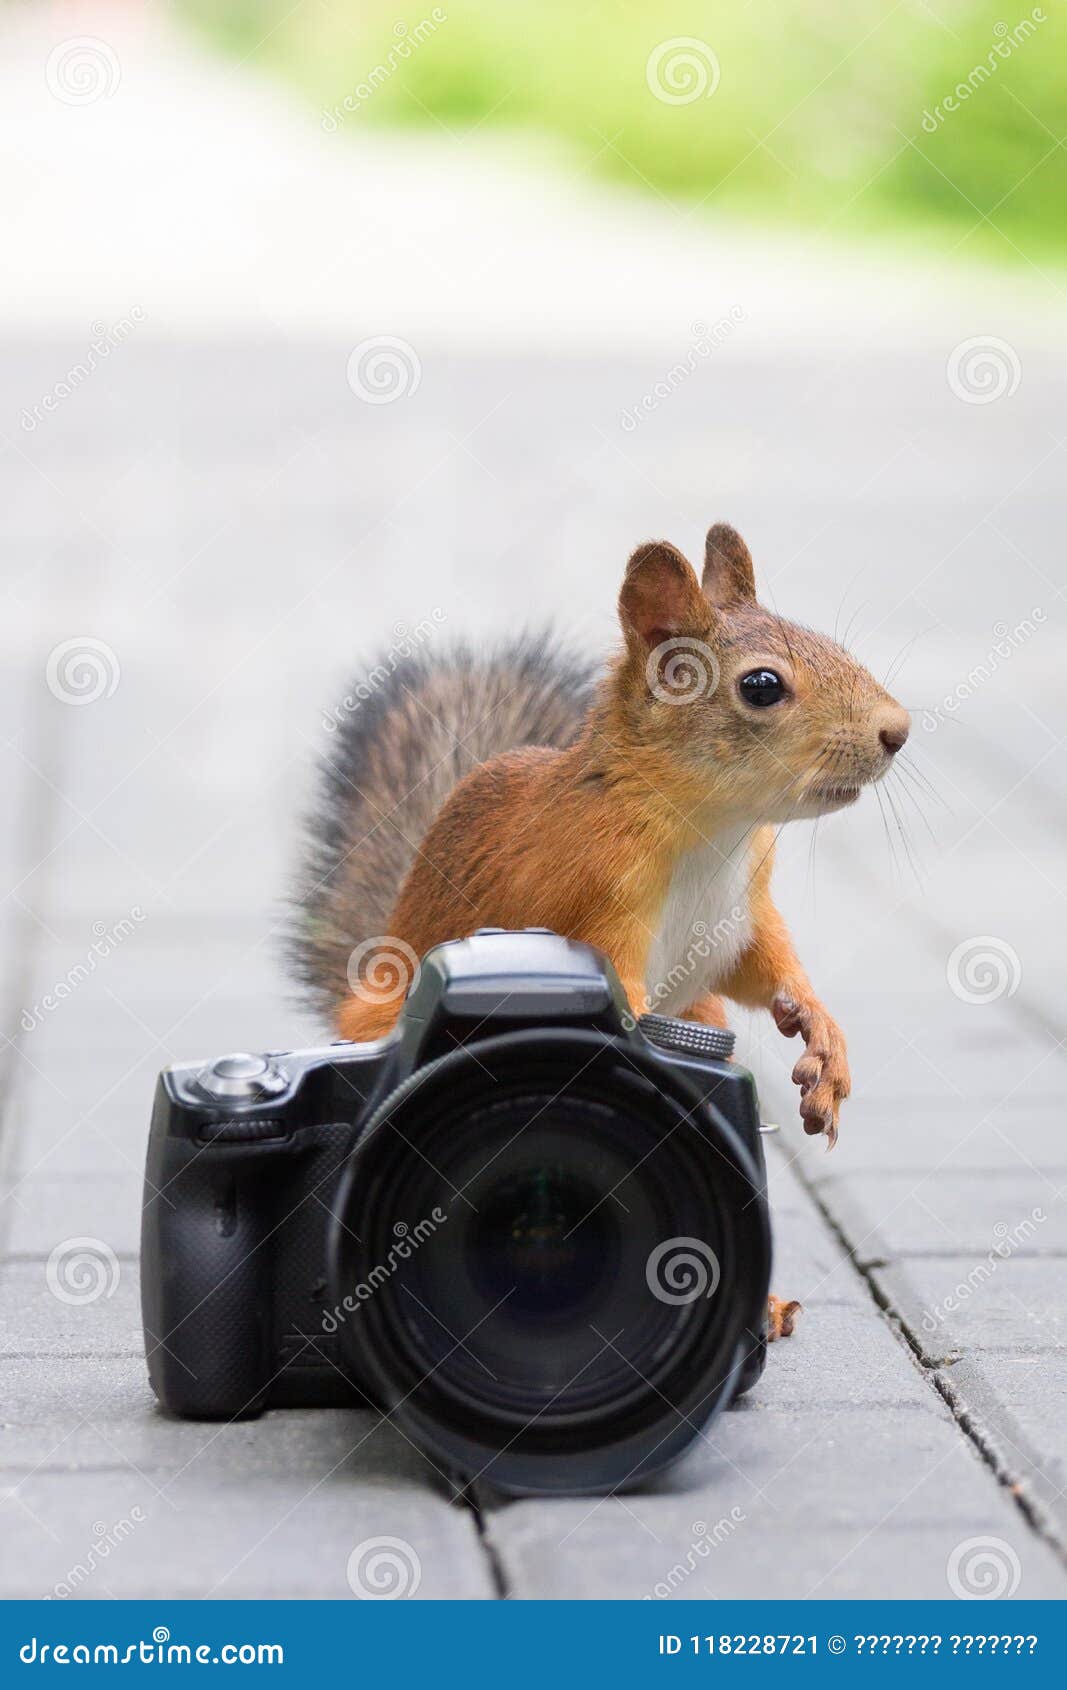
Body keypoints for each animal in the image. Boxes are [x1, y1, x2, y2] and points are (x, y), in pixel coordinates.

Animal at [292, 522, 910, 1170]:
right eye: (761, 686)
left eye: (824, 640)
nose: (898, 730)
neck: (712, 832)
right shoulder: (598, 901)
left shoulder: (744, 910)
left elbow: (763, 965)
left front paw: (822, 1034)